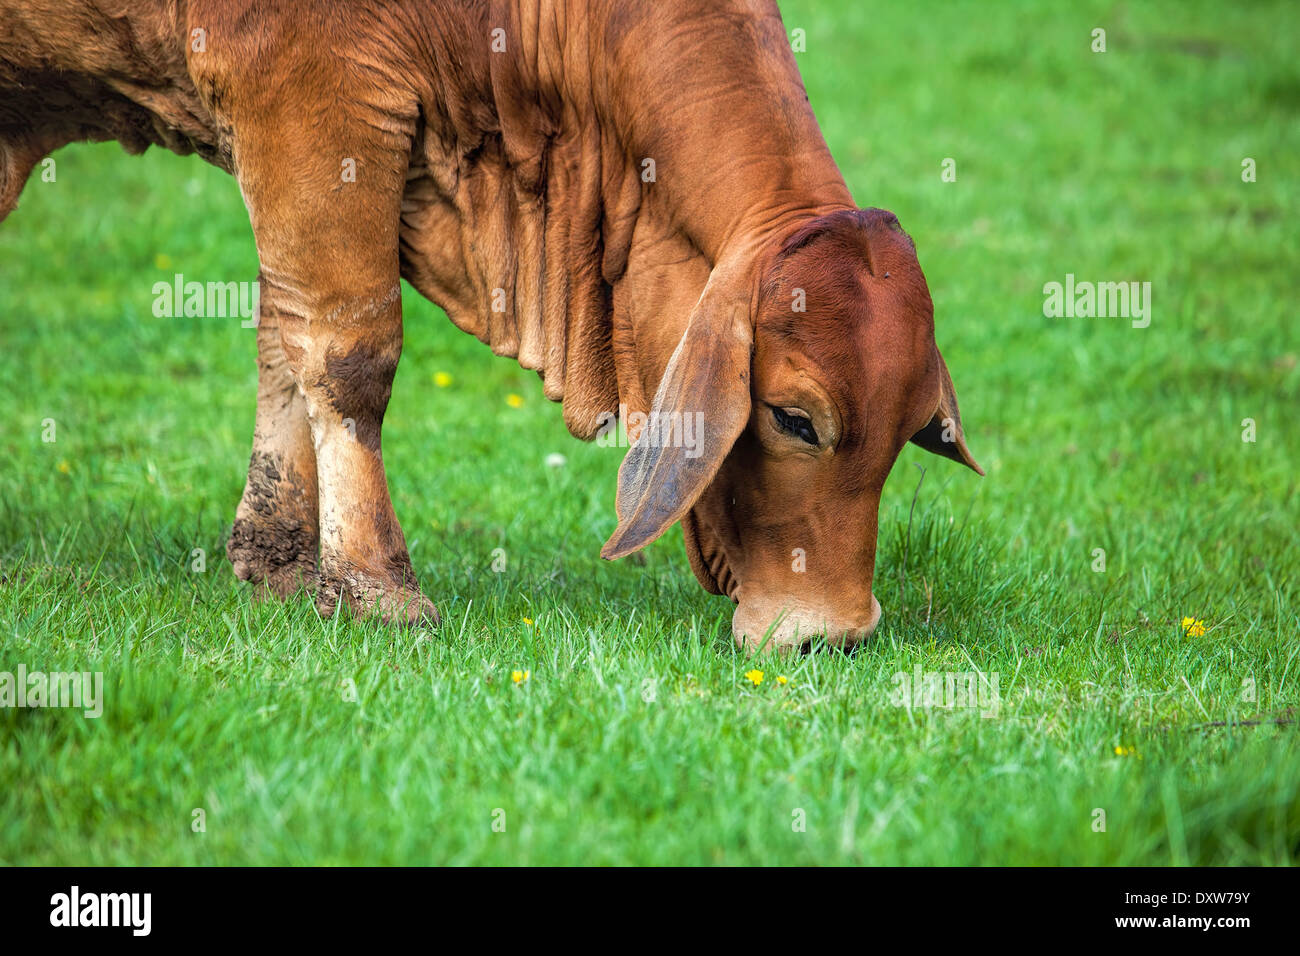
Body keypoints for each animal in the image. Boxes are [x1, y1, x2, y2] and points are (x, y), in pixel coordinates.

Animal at [0, 0, 982, 651]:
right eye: (793, 420)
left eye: (909, 434)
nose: (836, 633)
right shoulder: (312, 96)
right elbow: (348, 355)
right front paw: (379, 590)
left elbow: (282, 339)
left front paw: (280, 563)